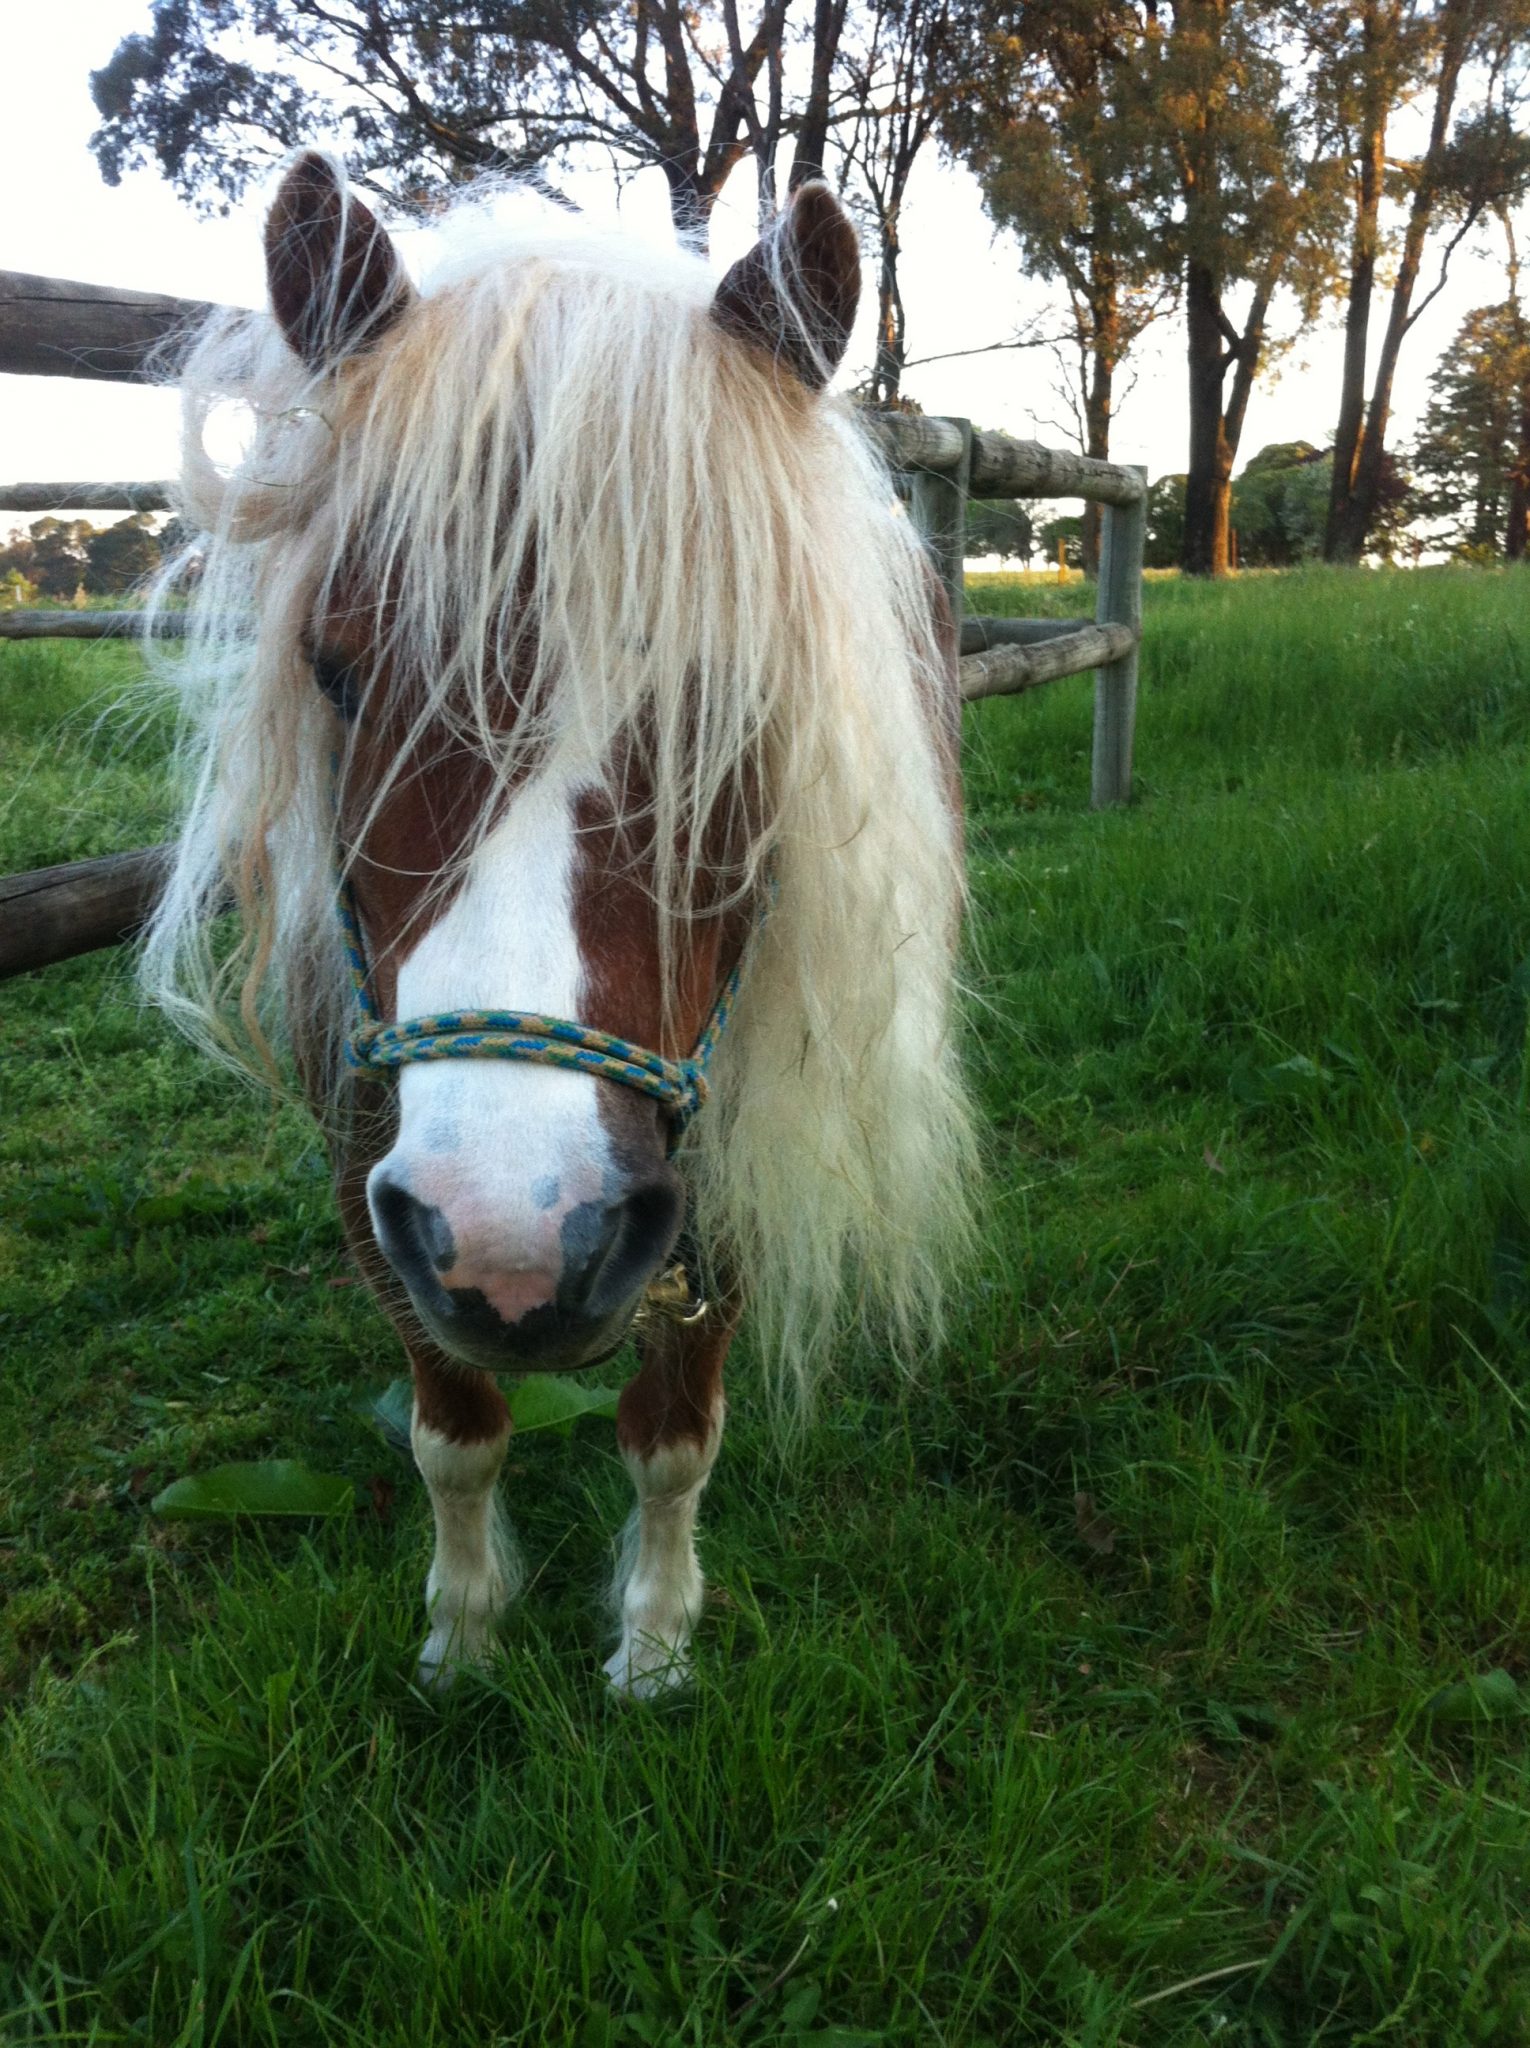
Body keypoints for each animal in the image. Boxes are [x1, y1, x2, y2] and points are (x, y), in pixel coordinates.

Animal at [143, 151, 974, 1696]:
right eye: (336, 673)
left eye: (743, 699)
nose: (519, 1237)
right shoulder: (371, 1176)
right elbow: (452, 1434)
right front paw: (464, 1637)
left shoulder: (718, 1167)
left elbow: (671, 1443)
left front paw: (651, 1646)